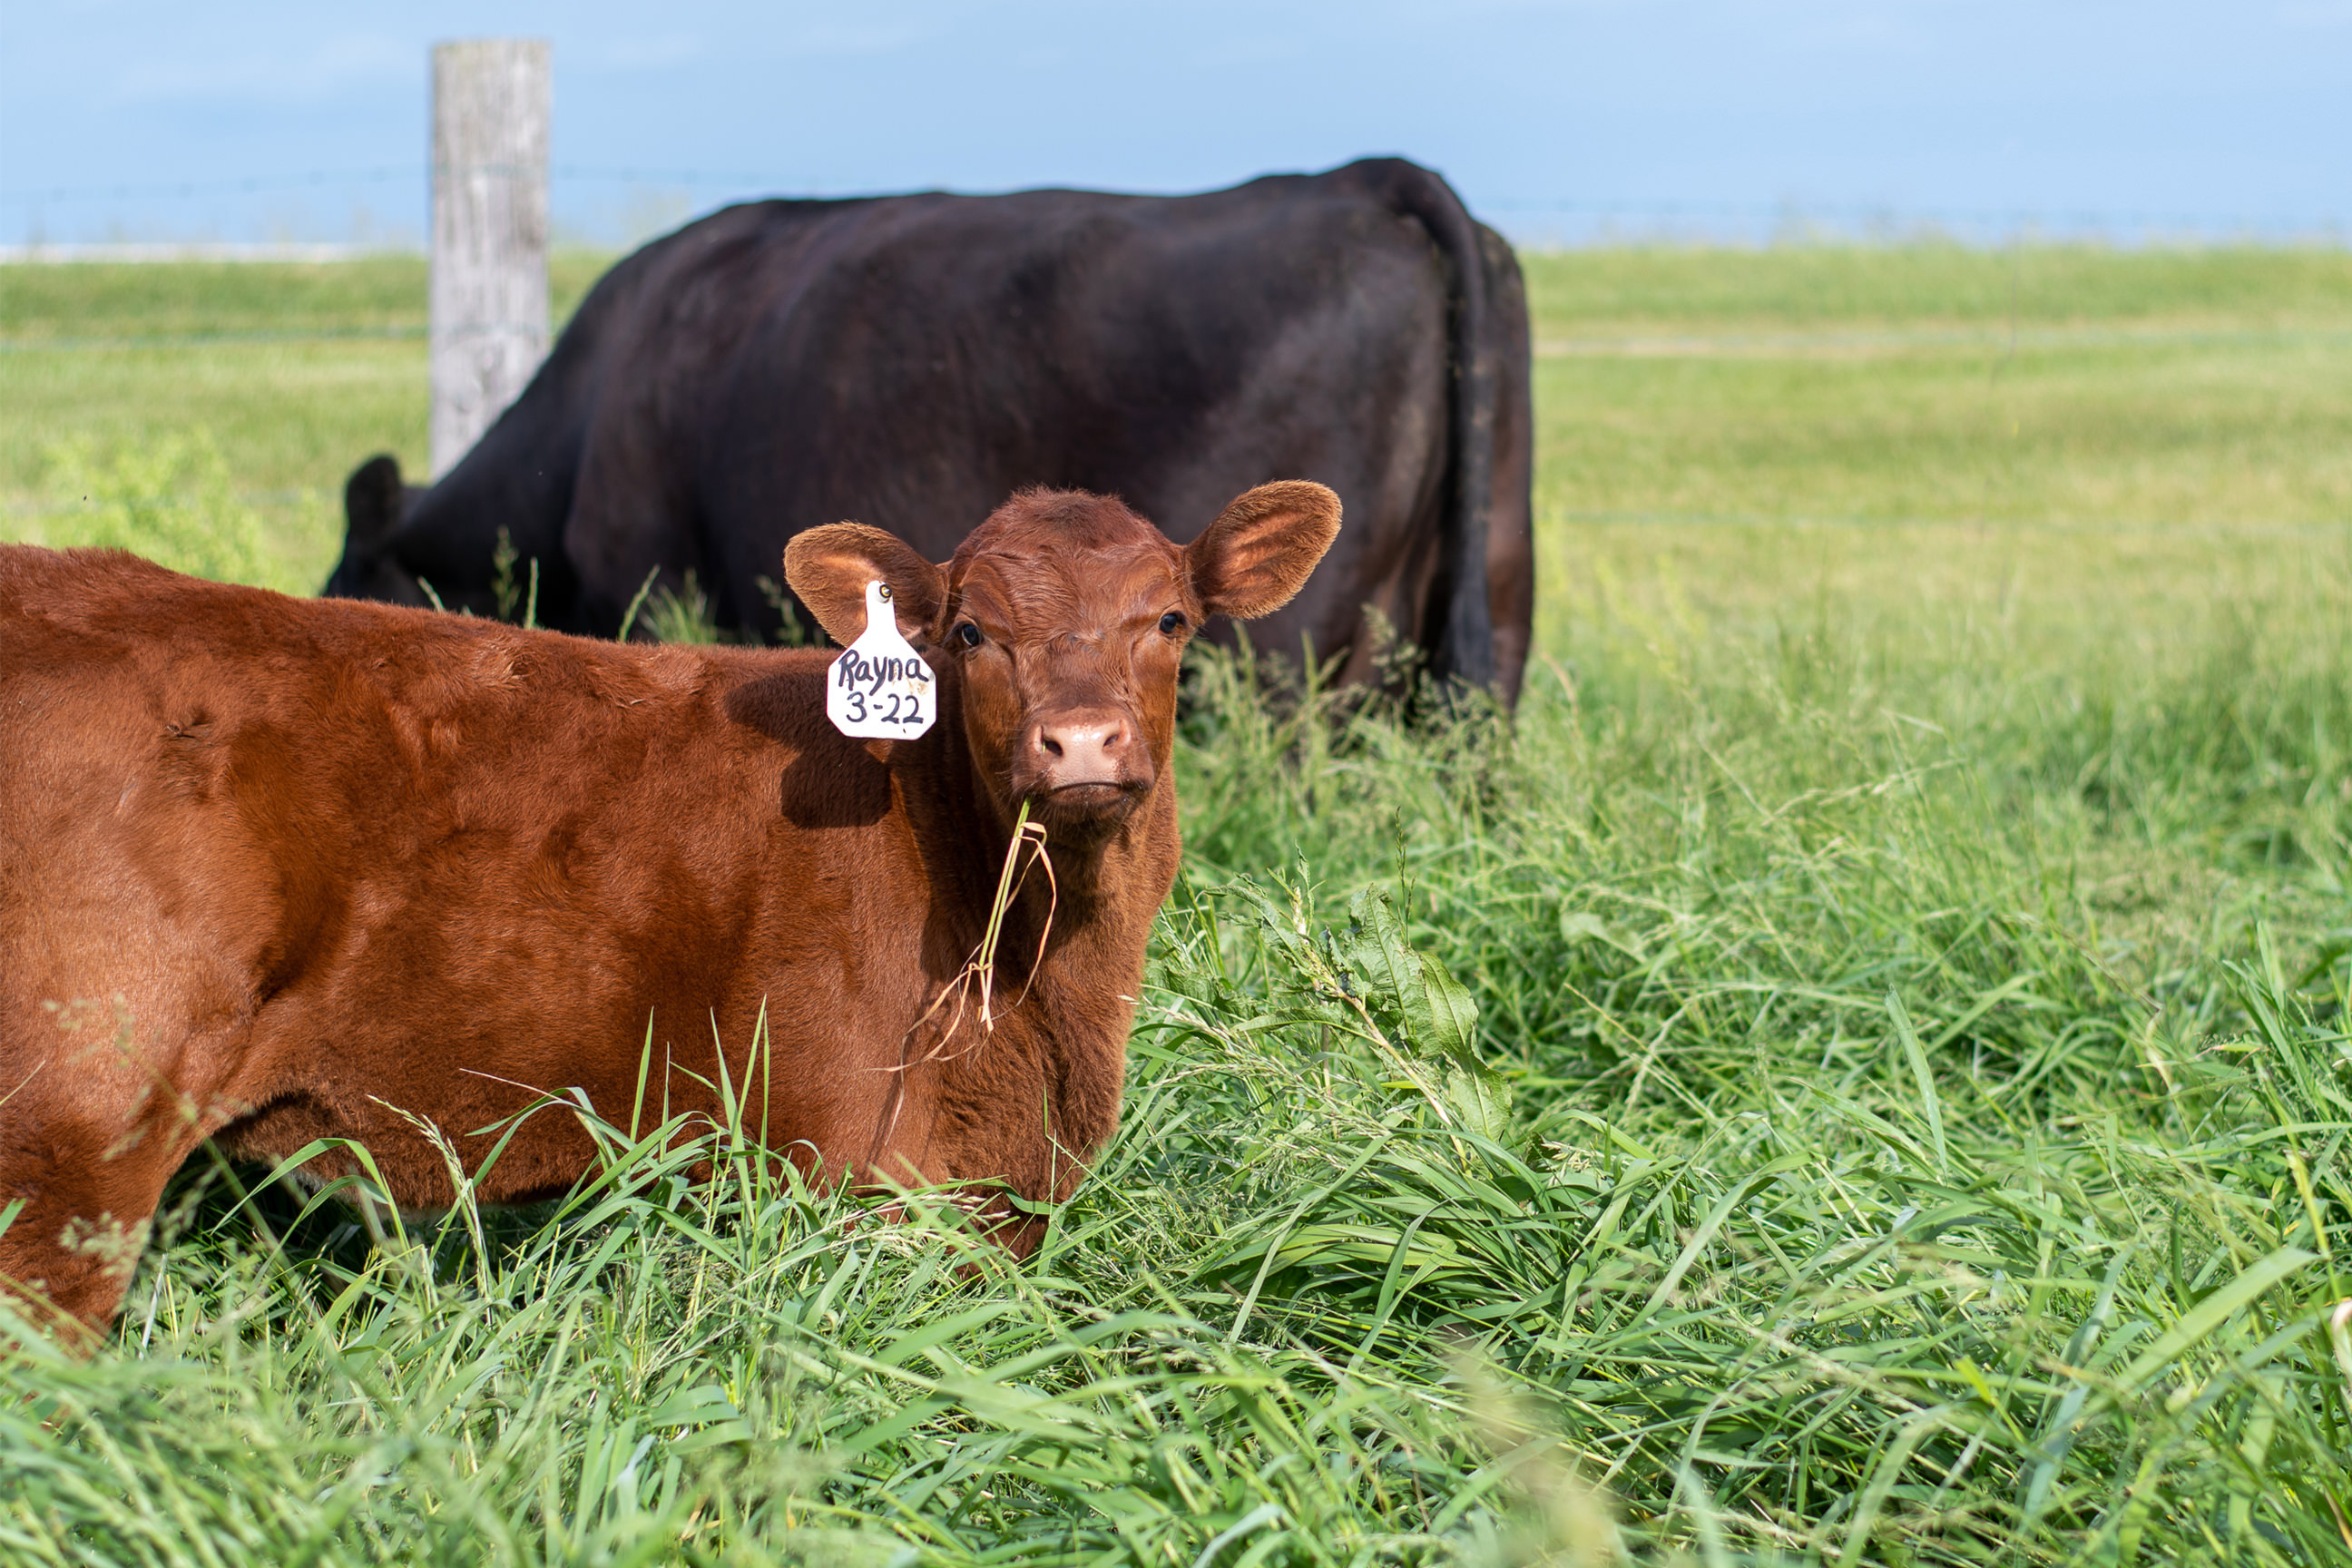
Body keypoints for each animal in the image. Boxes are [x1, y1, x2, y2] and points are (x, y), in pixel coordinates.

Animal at [0, 480, 1340, 1336]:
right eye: (968, 631)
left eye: (1170, 619)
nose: (1082, 743)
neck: (1039, 989)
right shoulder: (827, 1159)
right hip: (74, 1126)